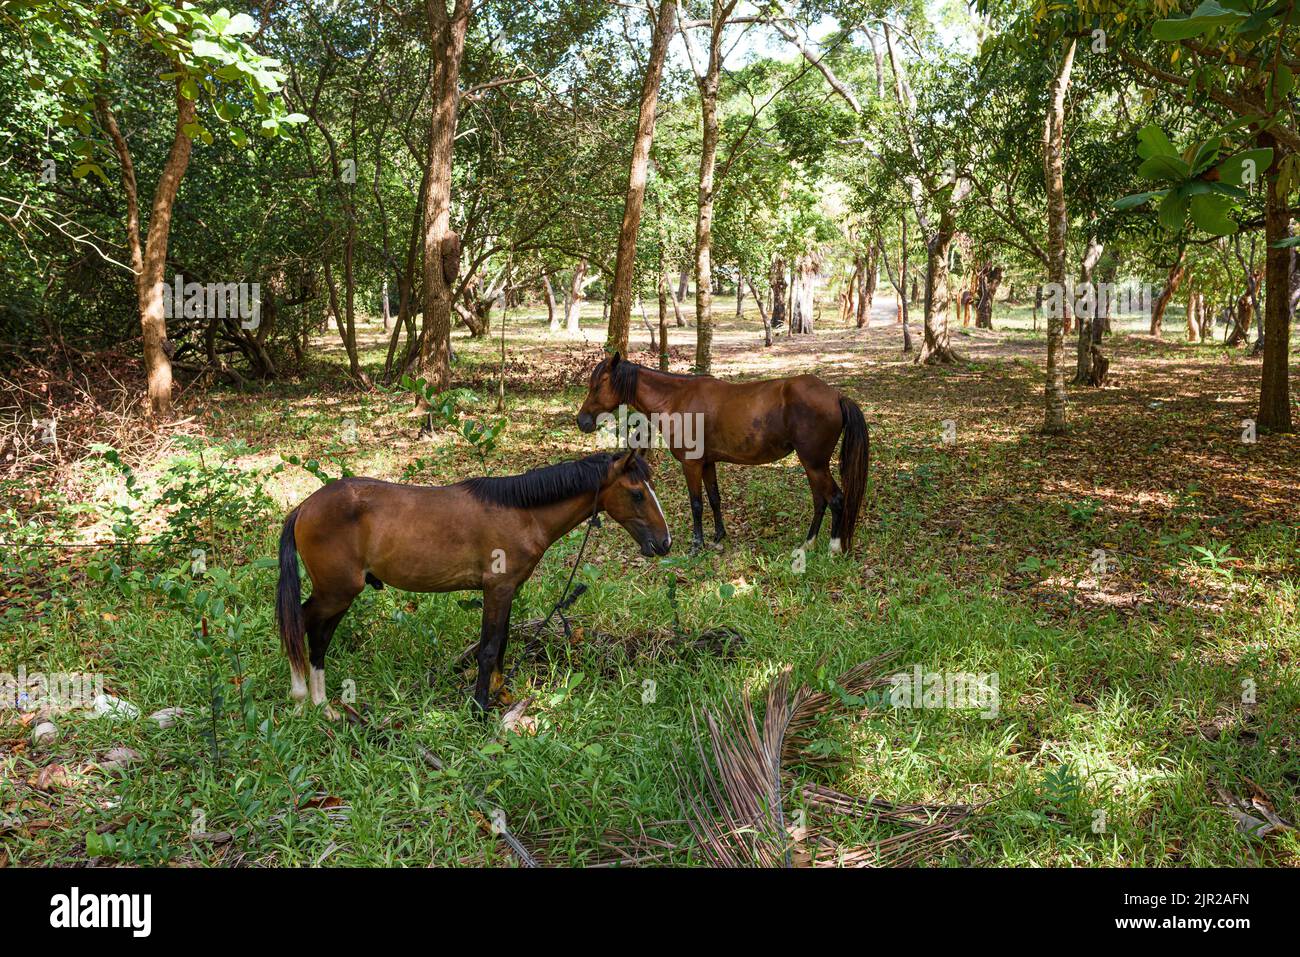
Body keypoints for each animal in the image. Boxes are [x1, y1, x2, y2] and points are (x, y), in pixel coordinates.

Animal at [275, 449, 669, 716]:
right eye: (637, 493)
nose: (664, 543)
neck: (521, 513)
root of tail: (304, 507)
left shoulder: (508, 591)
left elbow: (502, 643)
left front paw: (500, 695)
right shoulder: (497, 589)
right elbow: (490, 648)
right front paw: (479, 708)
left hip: (339, 595)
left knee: (318, 636)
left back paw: (322, 704)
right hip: (336, 593)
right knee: (300, 625)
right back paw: (300, 697)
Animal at [576, 354, 869, 554]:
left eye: (598, 385)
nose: (582, 421)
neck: (676, 399)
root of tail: (836, 396)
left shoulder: (691, 465)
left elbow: (696, 504)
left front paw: (697, 545)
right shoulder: (708, 463)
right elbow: (715, 499)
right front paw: (718, 537)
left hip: (815, 464)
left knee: (836, 499)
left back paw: (833, 548)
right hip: (812, 465)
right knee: (820, 501)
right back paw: (808, 544)